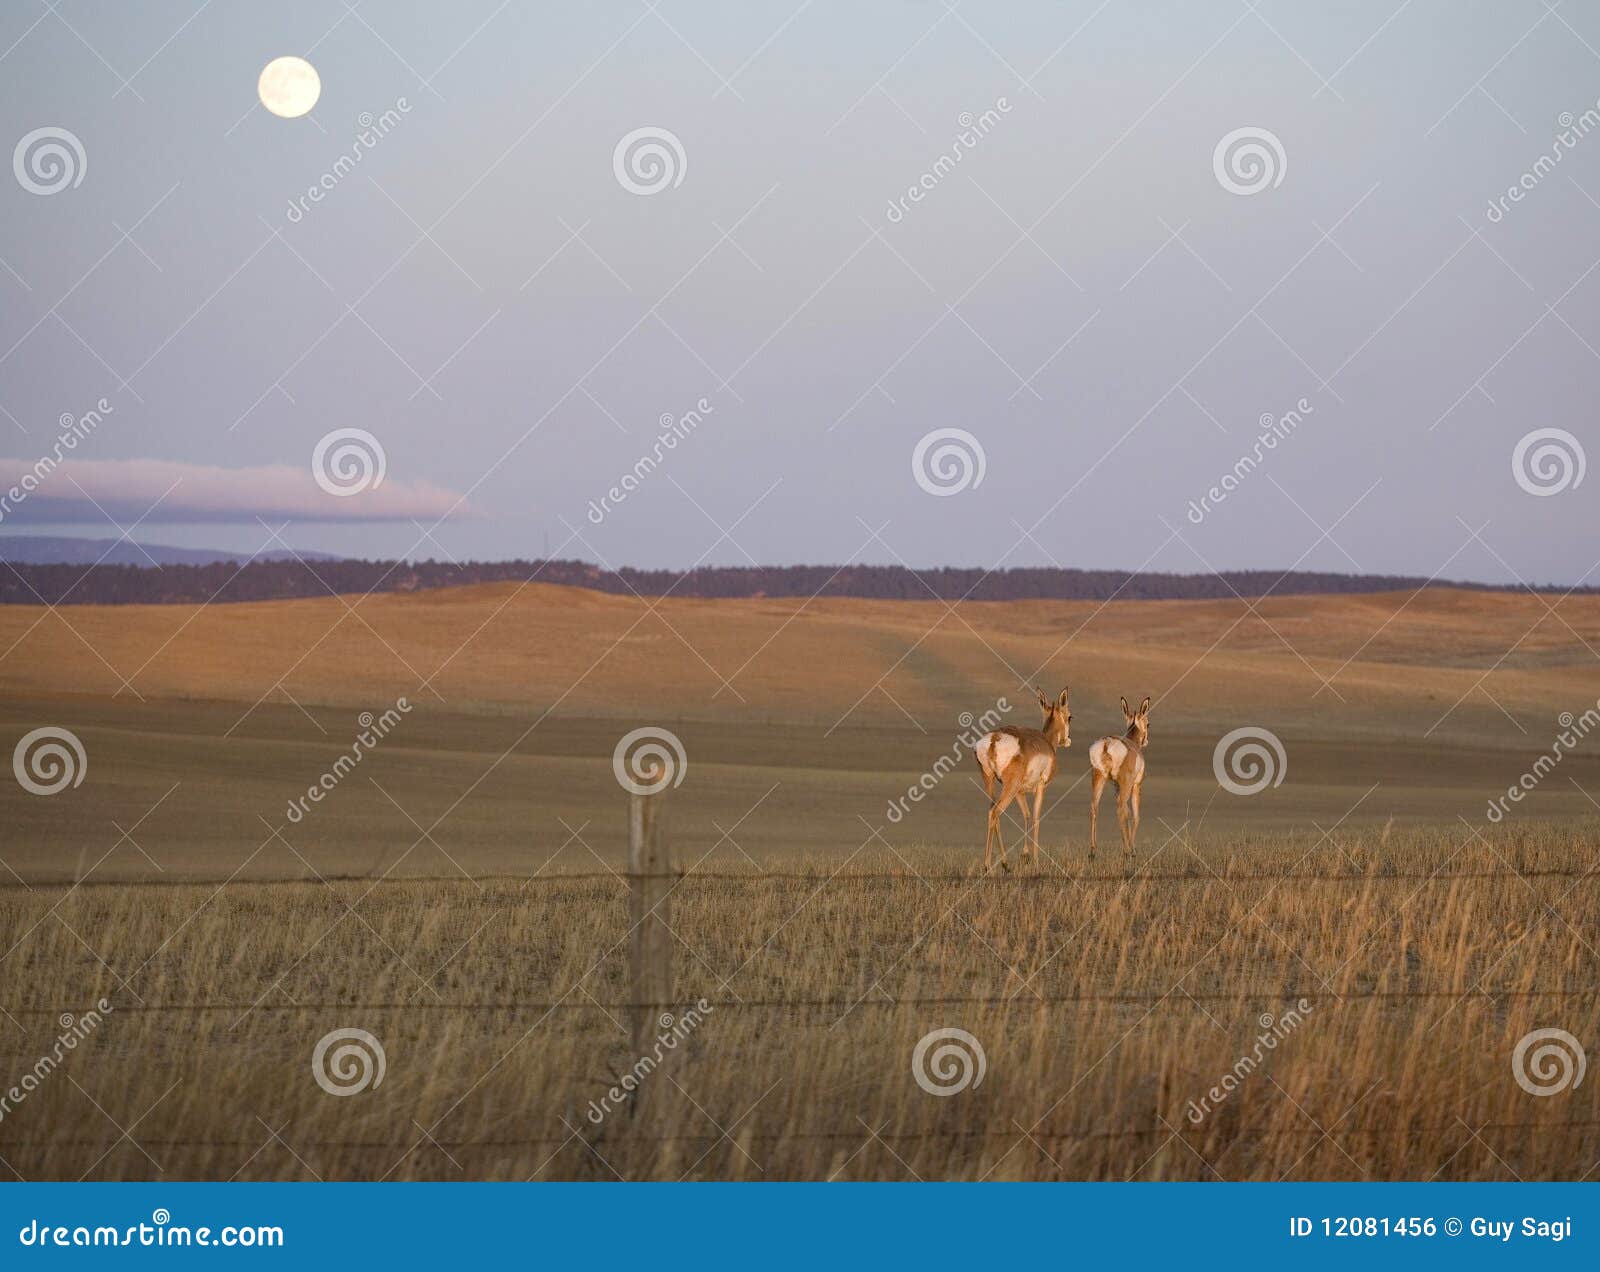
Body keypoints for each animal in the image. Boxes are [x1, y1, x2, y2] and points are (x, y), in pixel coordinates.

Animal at [974, 686, 1071, 870]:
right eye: (1070, 716)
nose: (1067, 741)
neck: (1046, 742)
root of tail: (994, 739)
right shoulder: (1040, 787)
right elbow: (1036, 817)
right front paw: (1035, 860)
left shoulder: (1020, 792)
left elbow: (1026, 815)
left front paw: (1025, 855)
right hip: (1009, 788)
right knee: (995, 812)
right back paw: (988, 864)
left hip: (991, 782)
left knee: (993, 812)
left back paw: (1005, 864)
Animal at [1088, 695, 1150, 855]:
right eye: (1148, 724)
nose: (1146, 741)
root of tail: (1107, 743)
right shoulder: (1136, 785)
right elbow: (1135, 815)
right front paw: (1132, 848)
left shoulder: (1116, 786)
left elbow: (1128, 813)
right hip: (1126, 784)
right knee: (1120, 809)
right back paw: (1128, 852)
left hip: (1099, 779)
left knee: (1094, 808)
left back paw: (1093, 852)